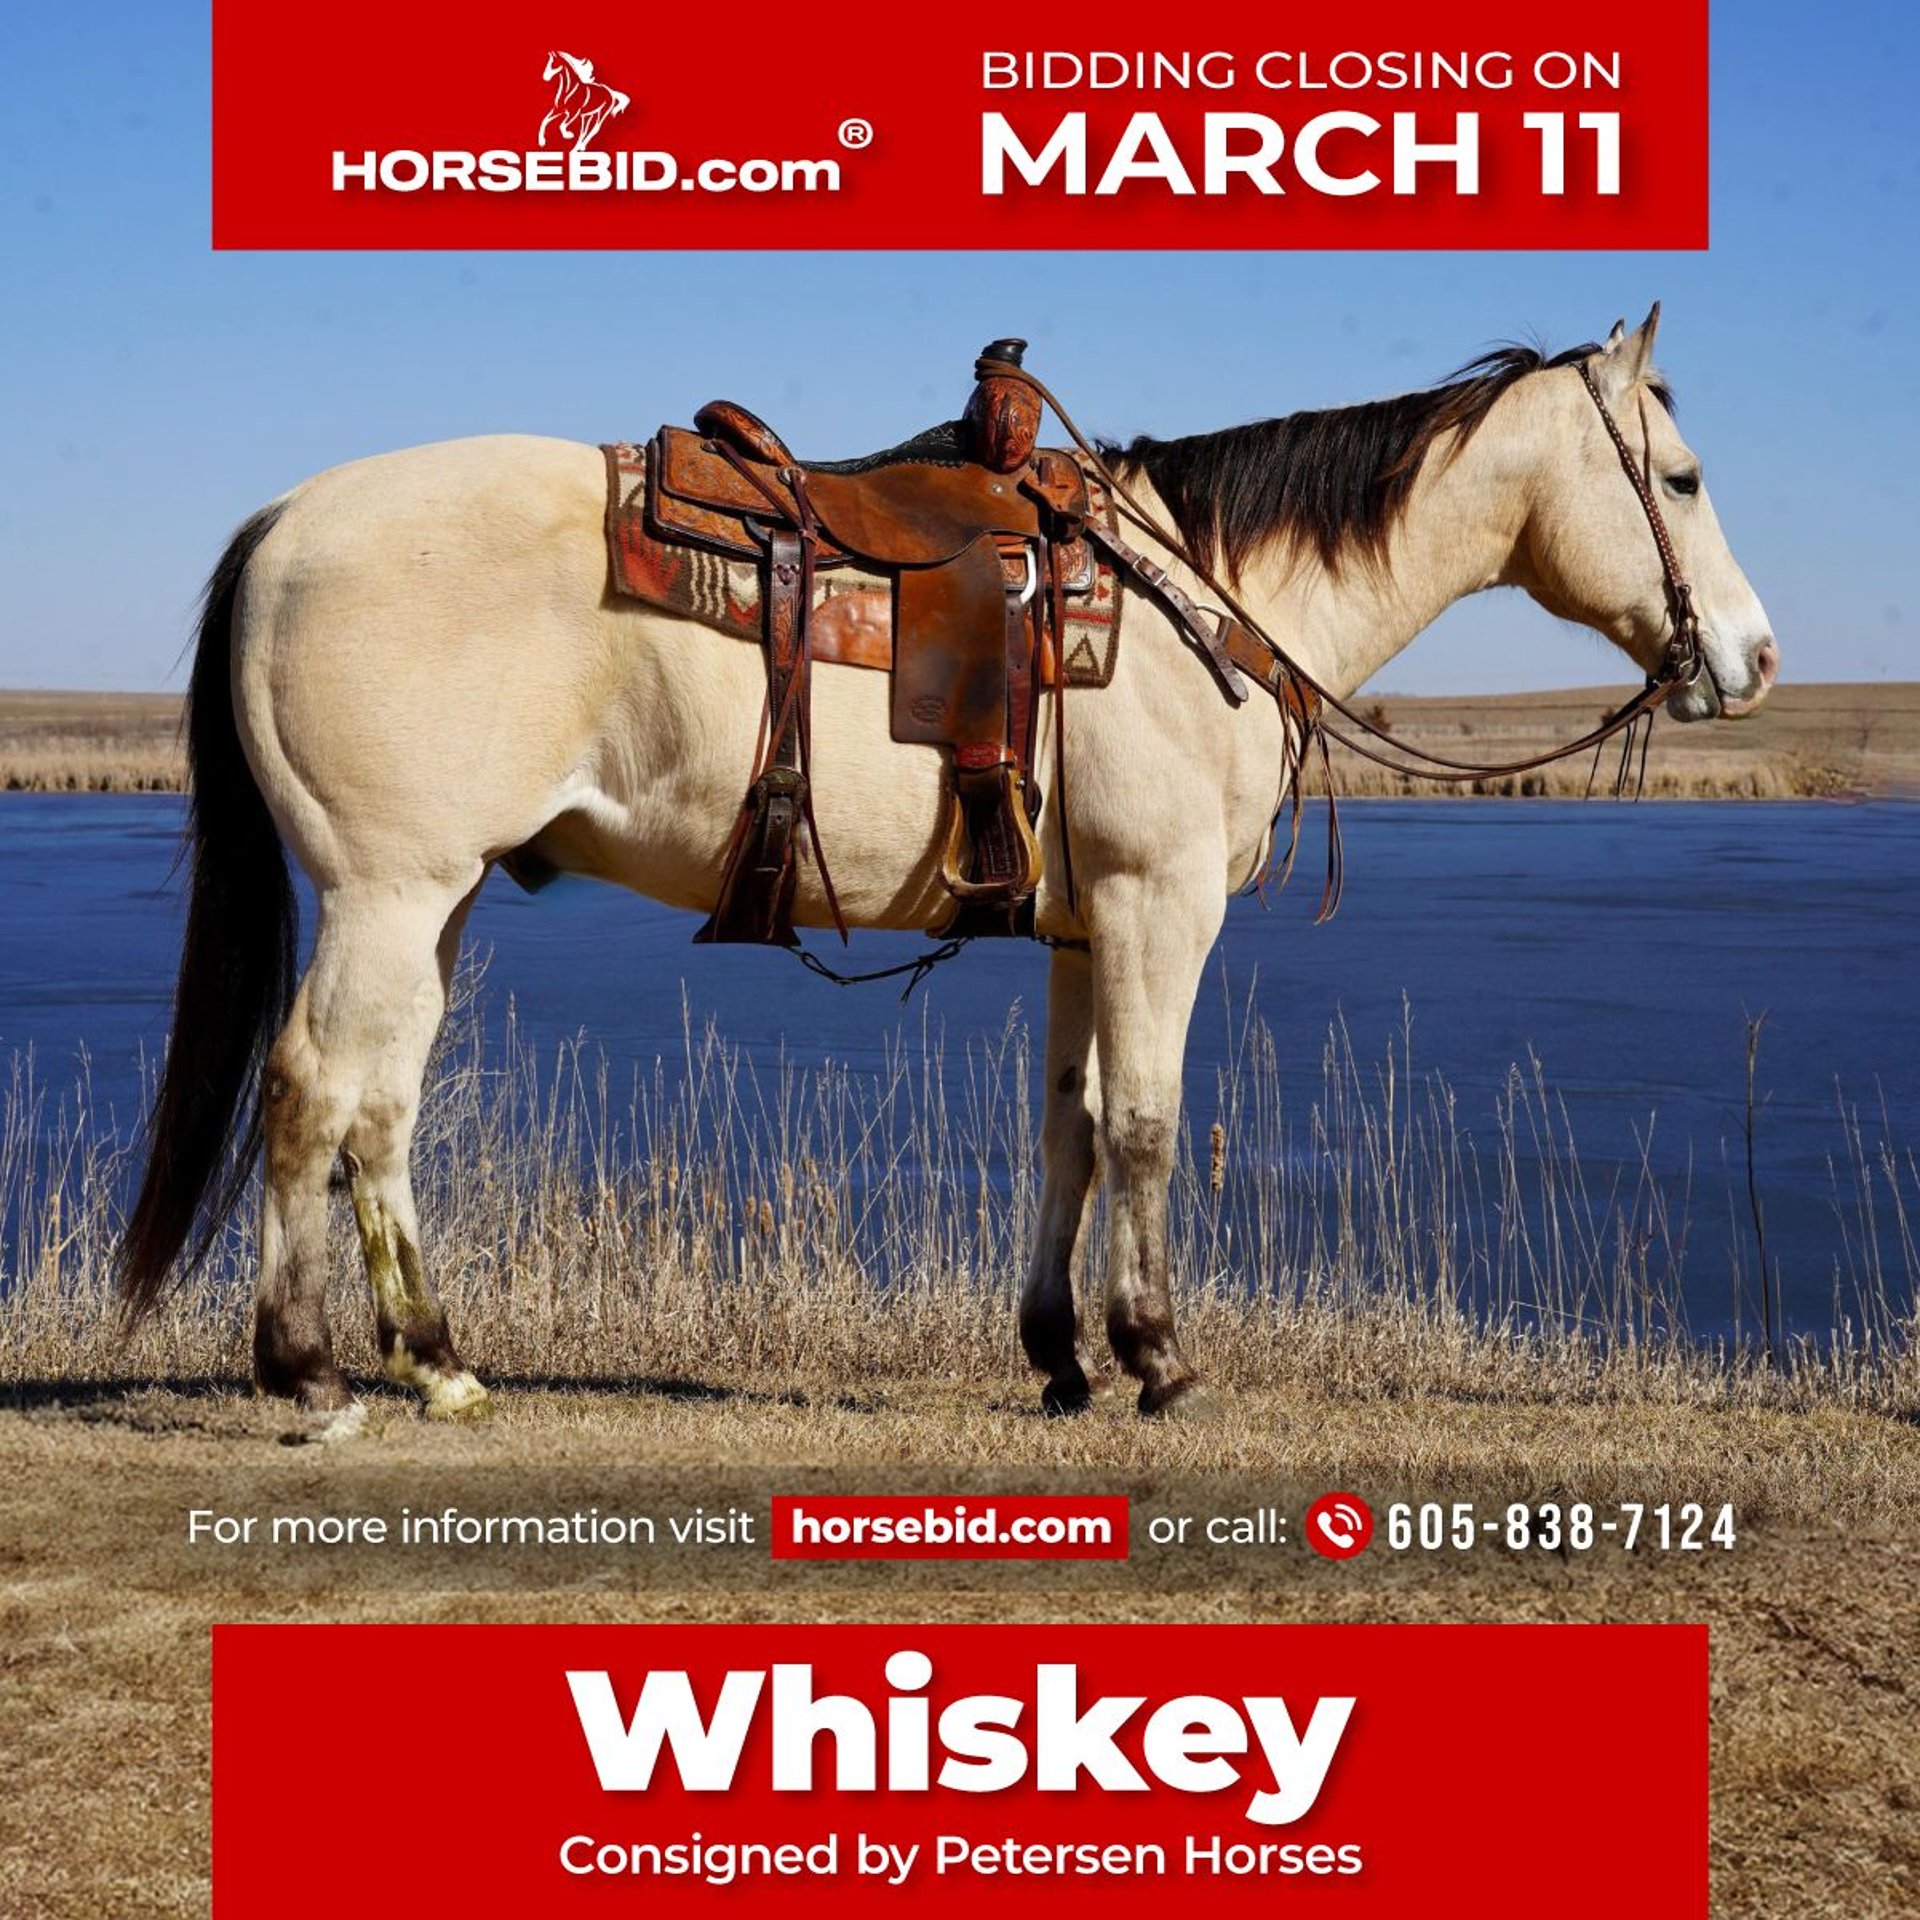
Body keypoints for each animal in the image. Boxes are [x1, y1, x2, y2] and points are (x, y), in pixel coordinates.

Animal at [116, 305, 1776, 1436]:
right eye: (1687, 478)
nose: (1754, 660)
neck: (1207, 600)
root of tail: (288, 520)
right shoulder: (1159, 906)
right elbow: (1149, 1127)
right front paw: (1161, 1357)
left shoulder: (1083, 927)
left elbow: (1067, 1131)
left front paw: (1060, 1359)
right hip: (389, 891)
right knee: (312, 1087)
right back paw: (309, 1373)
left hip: (437, 898)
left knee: (382, 1102)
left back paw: (441, 1360)